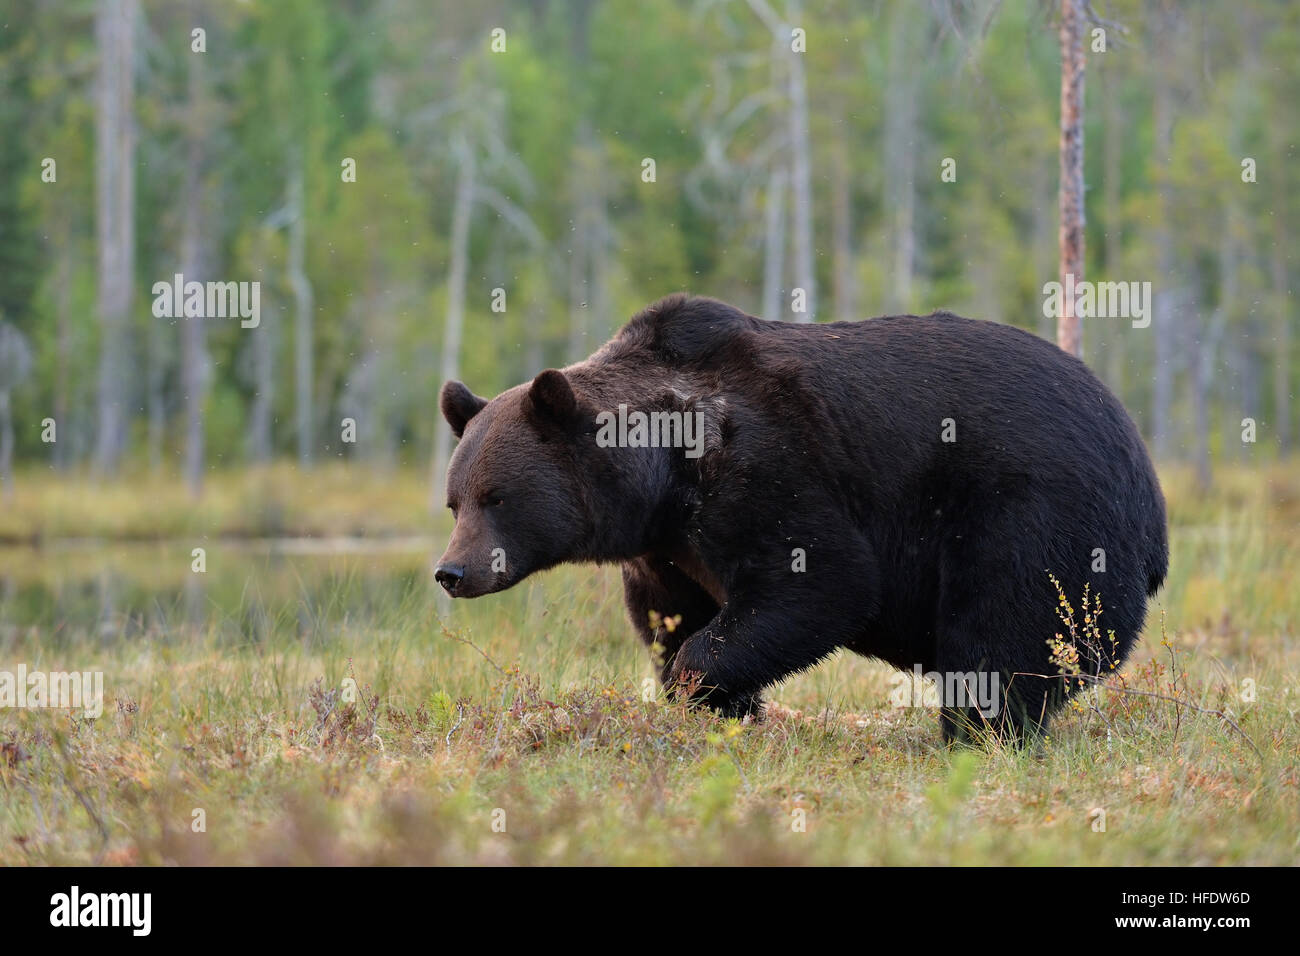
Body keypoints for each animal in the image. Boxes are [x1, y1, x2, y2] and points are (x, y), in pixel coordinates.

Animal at [435, 294, 1168, 743]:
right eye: (455, 498)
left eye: (497, 496)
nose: (452, 571)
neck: (663, 476)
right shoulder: (667, 548)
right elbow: (673, 618)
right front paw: (724, 707)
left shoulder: (767, 469)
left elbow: (821, 580)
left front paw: (707, 686)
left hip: (1033, 506)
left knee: (1007, 625)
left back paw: (978, 730)